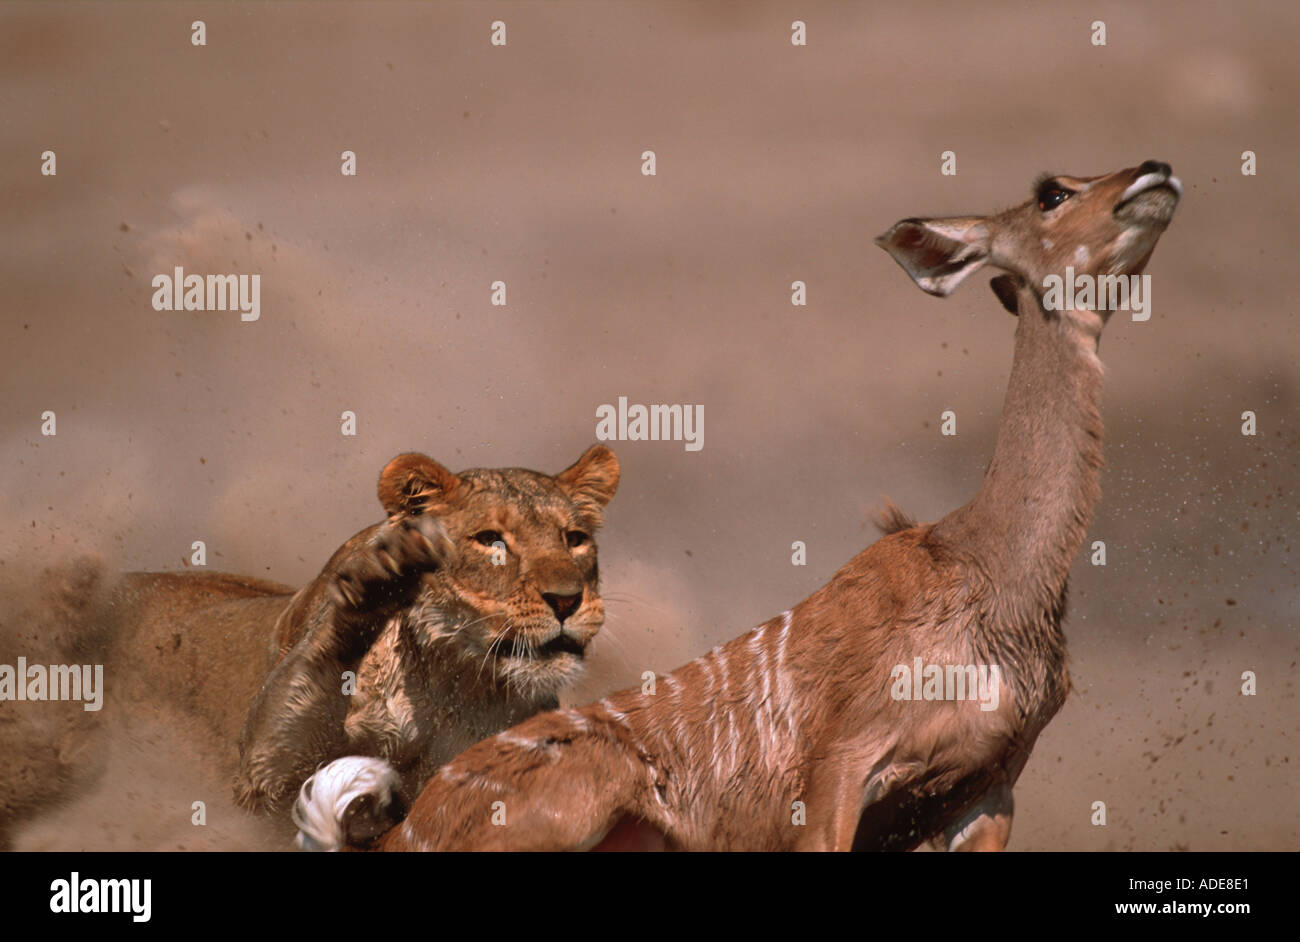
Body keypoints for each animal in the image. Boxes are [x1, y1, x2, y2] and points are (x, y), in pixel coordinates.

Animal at [0, 445, 619, 849]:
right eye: (490, 539)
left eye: (574, 539)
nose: (567, 599)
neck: (454, 683)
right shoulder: (260, 793)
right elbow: (307, 693)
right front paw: (382, 576)